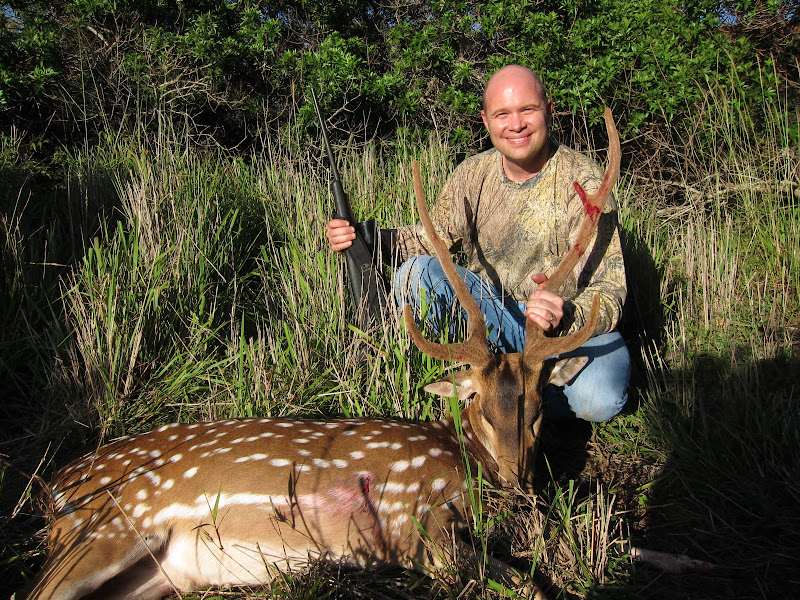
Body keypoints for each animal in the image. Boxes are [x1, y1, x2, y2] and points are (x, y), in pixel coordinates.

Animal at [19, 109, 620, 600]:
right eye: (483, 410)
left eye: (538, 411)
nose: (520, 488)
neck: (461, 459)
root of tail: (54, 488)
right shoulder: (414, 527)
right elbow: (527, 585)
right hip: (104, 528)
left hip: (155, 572)